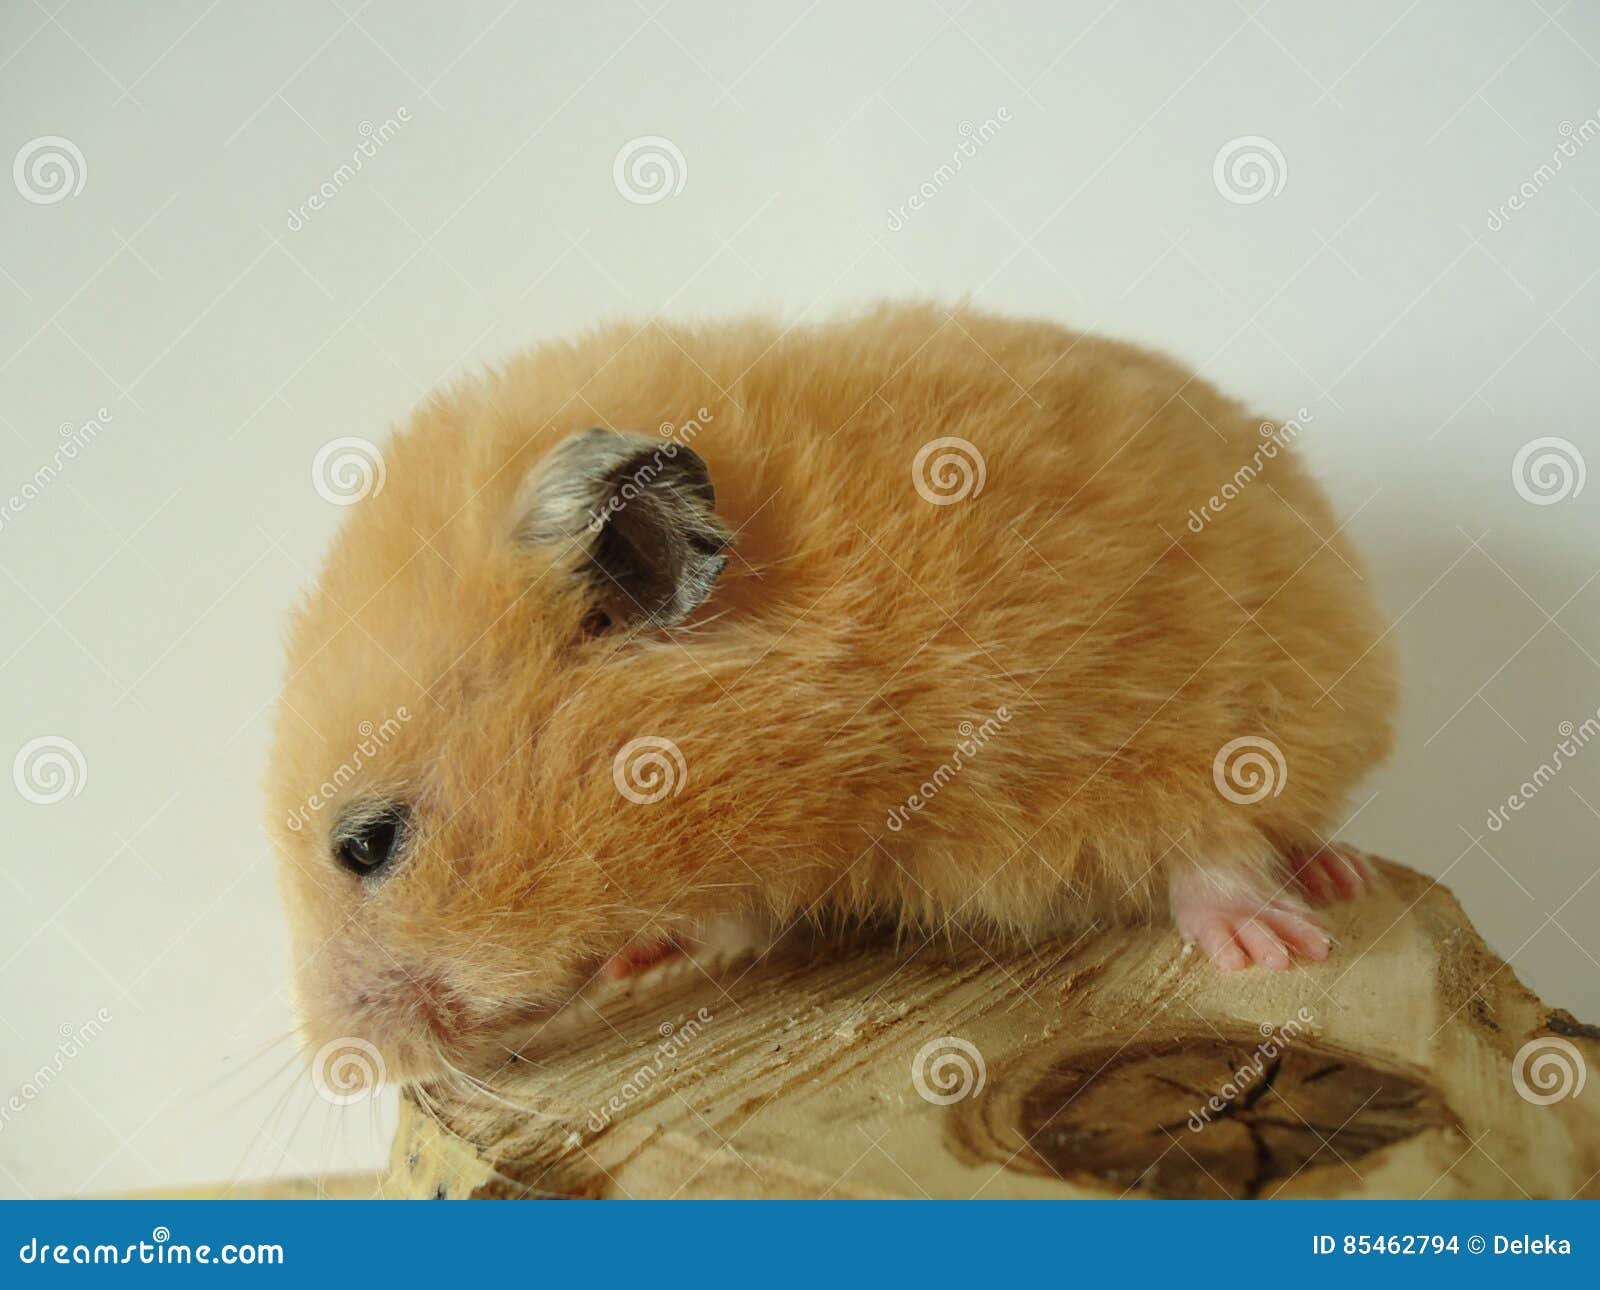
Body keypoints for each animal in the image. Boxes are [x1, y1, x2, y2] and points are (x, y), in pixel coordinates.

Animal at [267, 304, 1395, 1080]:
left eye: (366, 845)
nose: (340, 1069)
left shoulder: (1183, 699)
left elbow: (1207, 842)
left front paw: (1274, 952)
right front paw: (640, 953)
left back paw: (1327, 886)